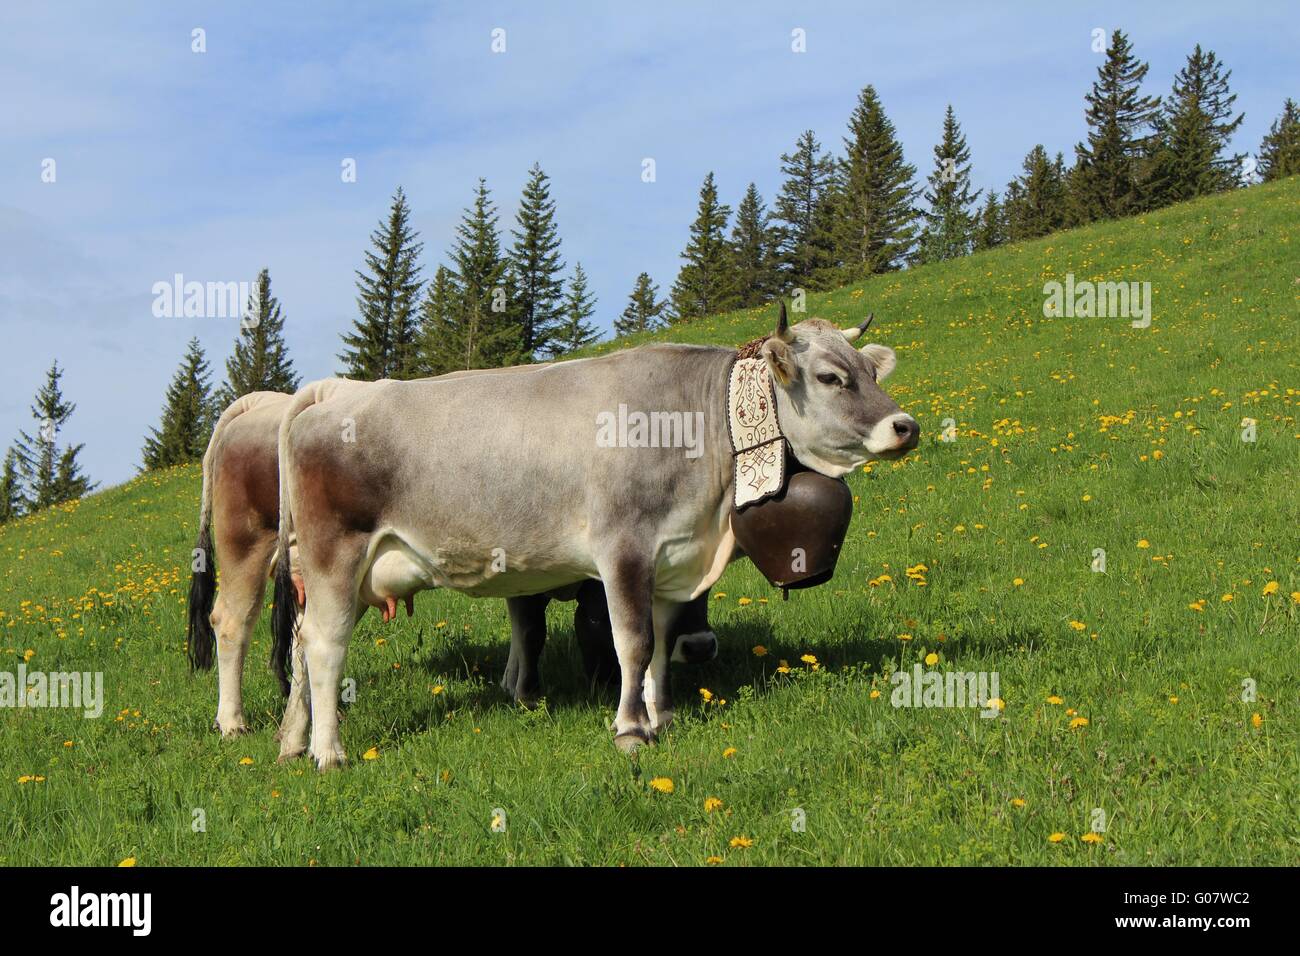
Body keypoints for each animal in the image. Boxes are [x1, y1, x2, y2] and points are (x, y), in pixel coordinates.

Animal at [187, 386, 715, 737]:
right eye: (596, 620)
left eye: (703, 588)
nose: (702, 647)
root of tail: (257, 404)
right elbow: (531, 632)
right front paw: (528, 694)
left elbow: (521, 633)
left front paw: (511, 682)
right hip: (247, 546)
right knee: (231, 623)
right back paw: (232, 721)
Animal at [271, 305, 918, 768]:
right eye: (832, 377)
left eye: (870, 371)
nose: (905, 426)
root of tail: (339, 390)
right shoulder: (623, 549)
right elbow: (631, 641)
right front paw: (631, 729)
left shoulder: (671, 557)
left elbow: (661, 641)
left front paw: (662, 715)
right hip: (336, 552)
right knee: (326, 647)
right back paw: (328, 752)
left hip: (346, 571)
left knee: (302, 646)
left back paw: (292, 741)